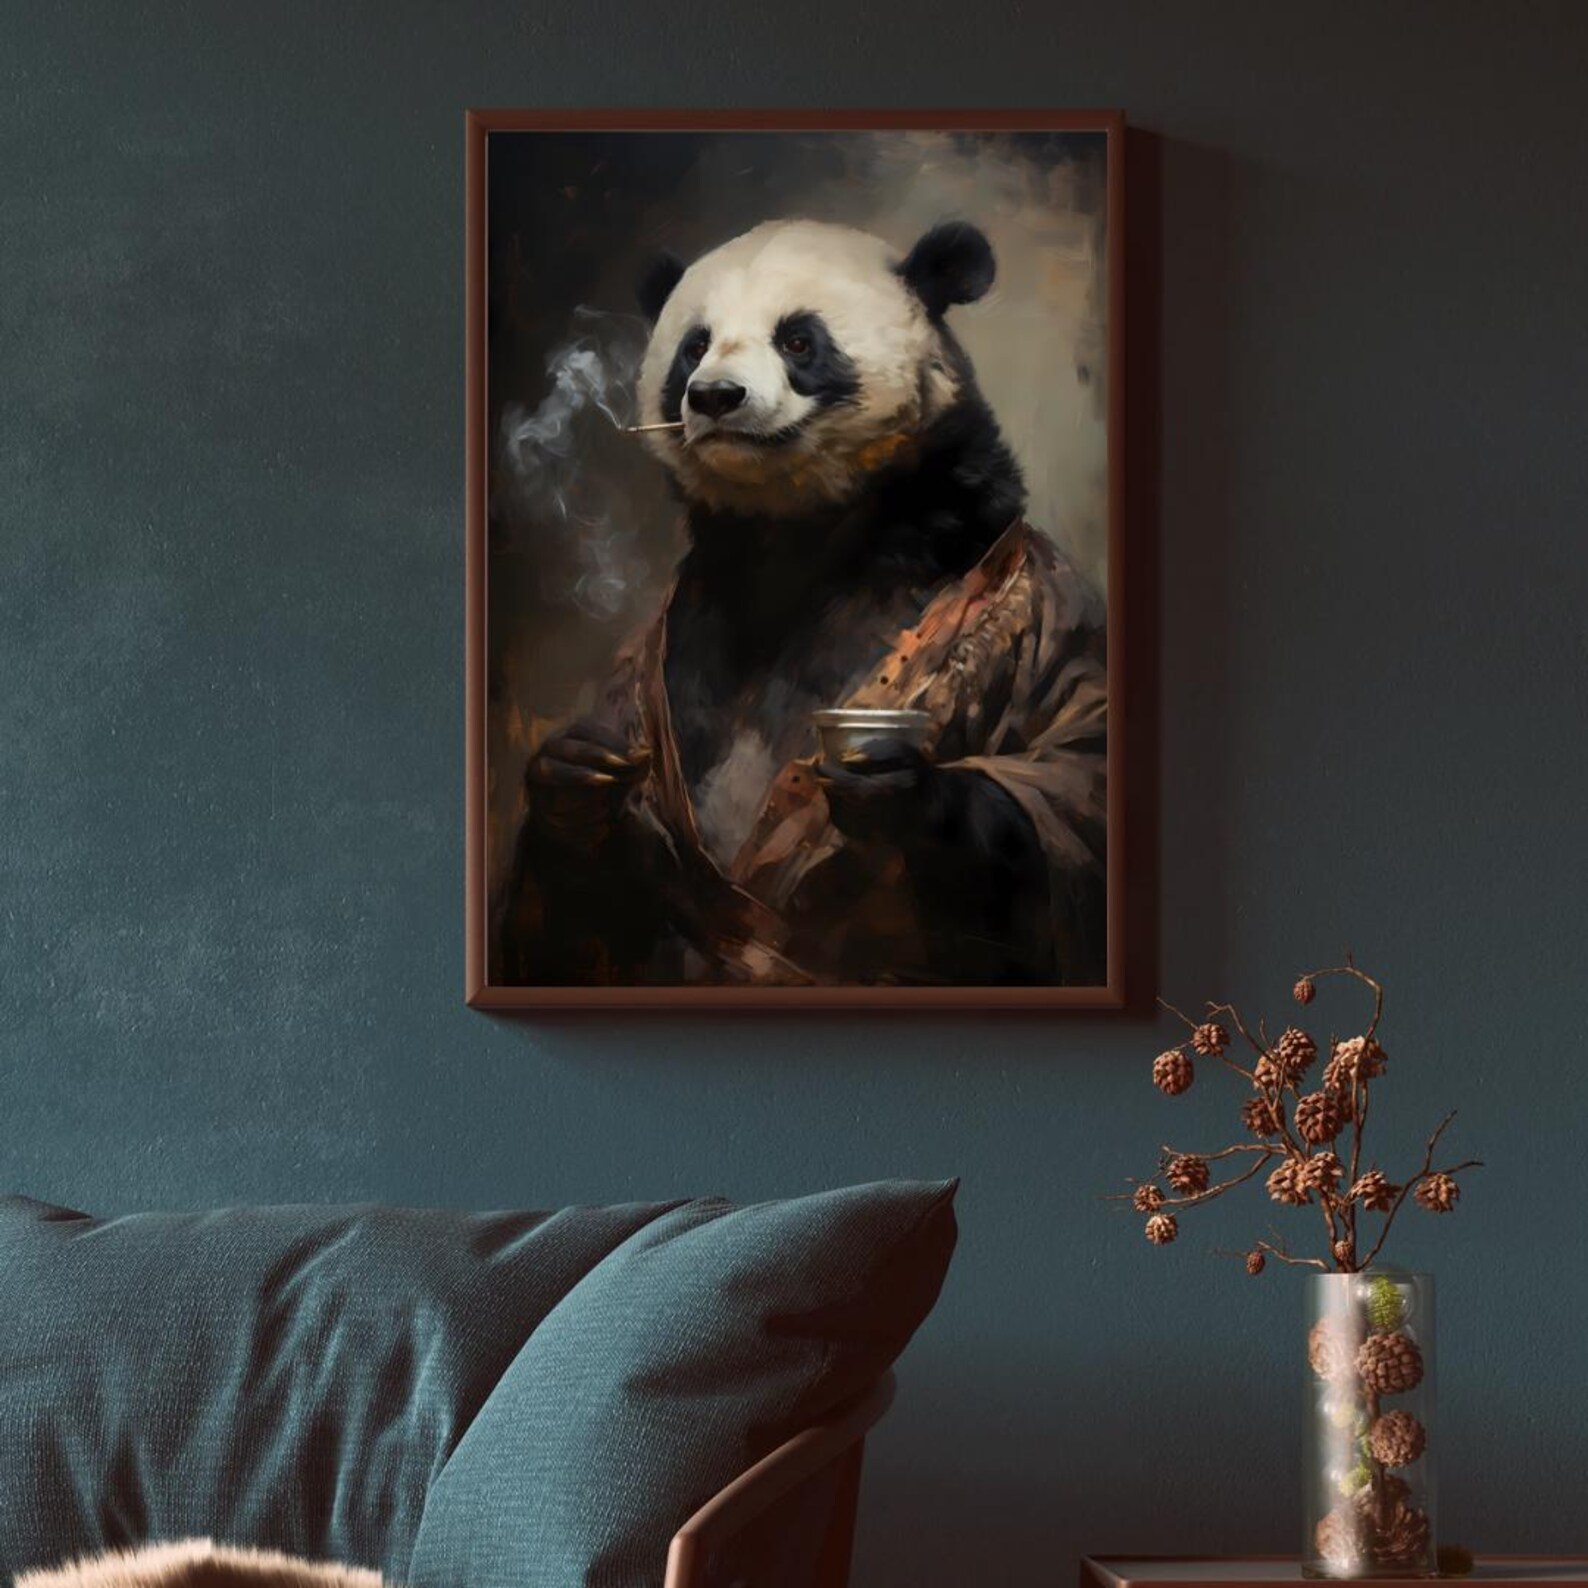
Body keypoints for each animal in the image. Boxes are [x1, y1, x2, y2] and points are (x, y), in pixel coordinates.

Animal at [497, 218, 1107, 989]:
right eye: (694, 344)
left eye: (797, 340)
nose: (715, 395)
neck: (797, 525)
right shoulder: (676, 630)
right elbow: (583, 931)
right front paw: (573, 786)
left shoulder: (991, 565)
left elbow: (1074, 780)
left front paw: (898, 791)